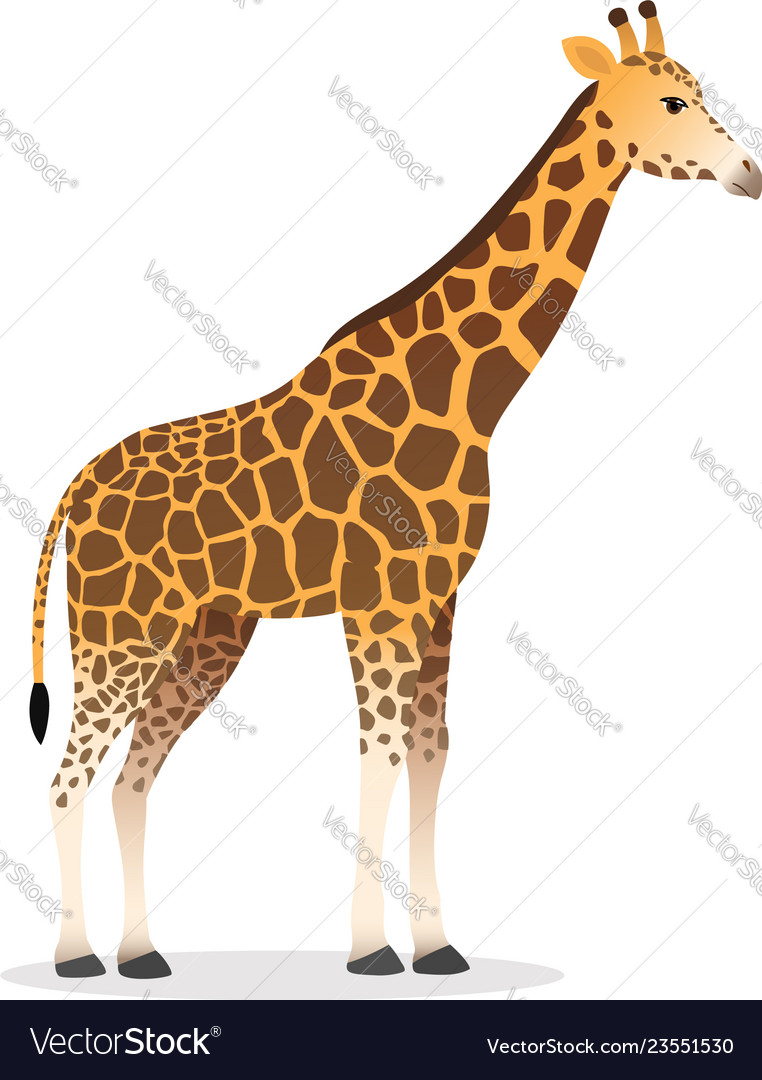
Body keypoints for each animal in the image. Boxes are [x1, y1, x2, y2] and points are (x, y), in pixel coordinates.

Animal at [29, 4, 760, 980]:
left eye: (703, 91)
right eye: (675, 101)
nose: (749, 172)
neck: (468, 396)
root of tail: (76, 487)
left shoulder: (439, 596)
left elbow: (430, 753)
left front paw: (438, 945)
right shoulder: (378, 599)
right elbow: (376, 754)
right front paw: (372, 950)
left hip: (207, 635)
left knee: (133, 774)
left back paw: (143, 954)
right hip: (119, 628)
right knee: (70, 772)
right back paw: (76, 956)